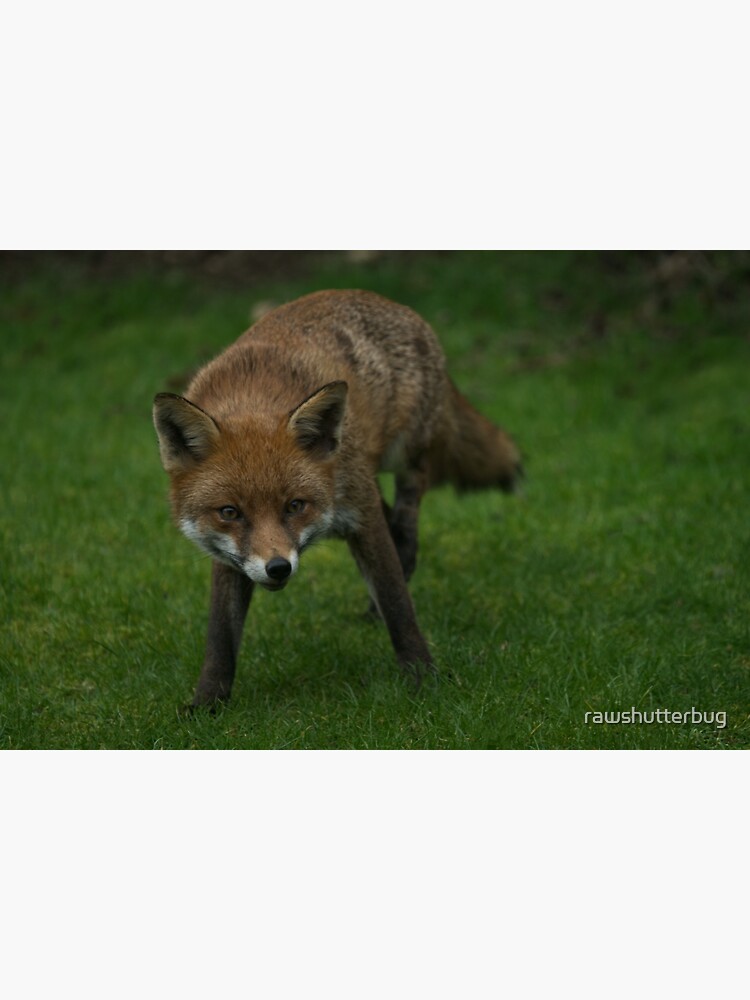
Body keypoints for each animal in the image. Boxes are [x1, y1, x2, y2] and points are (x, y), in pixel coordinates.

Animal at [153, 289, 521, 707]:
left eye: (294, 506)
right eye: (229, 512)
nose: (278, 568)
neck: (252, 398)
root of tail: (387, 301)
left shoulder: (361, 515)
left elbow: (397, 602)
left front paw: (423, 677)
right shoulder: (231, 556)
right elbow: (220, 635)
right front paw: (207, 702)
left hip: (403, 455)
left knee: (409, 518)